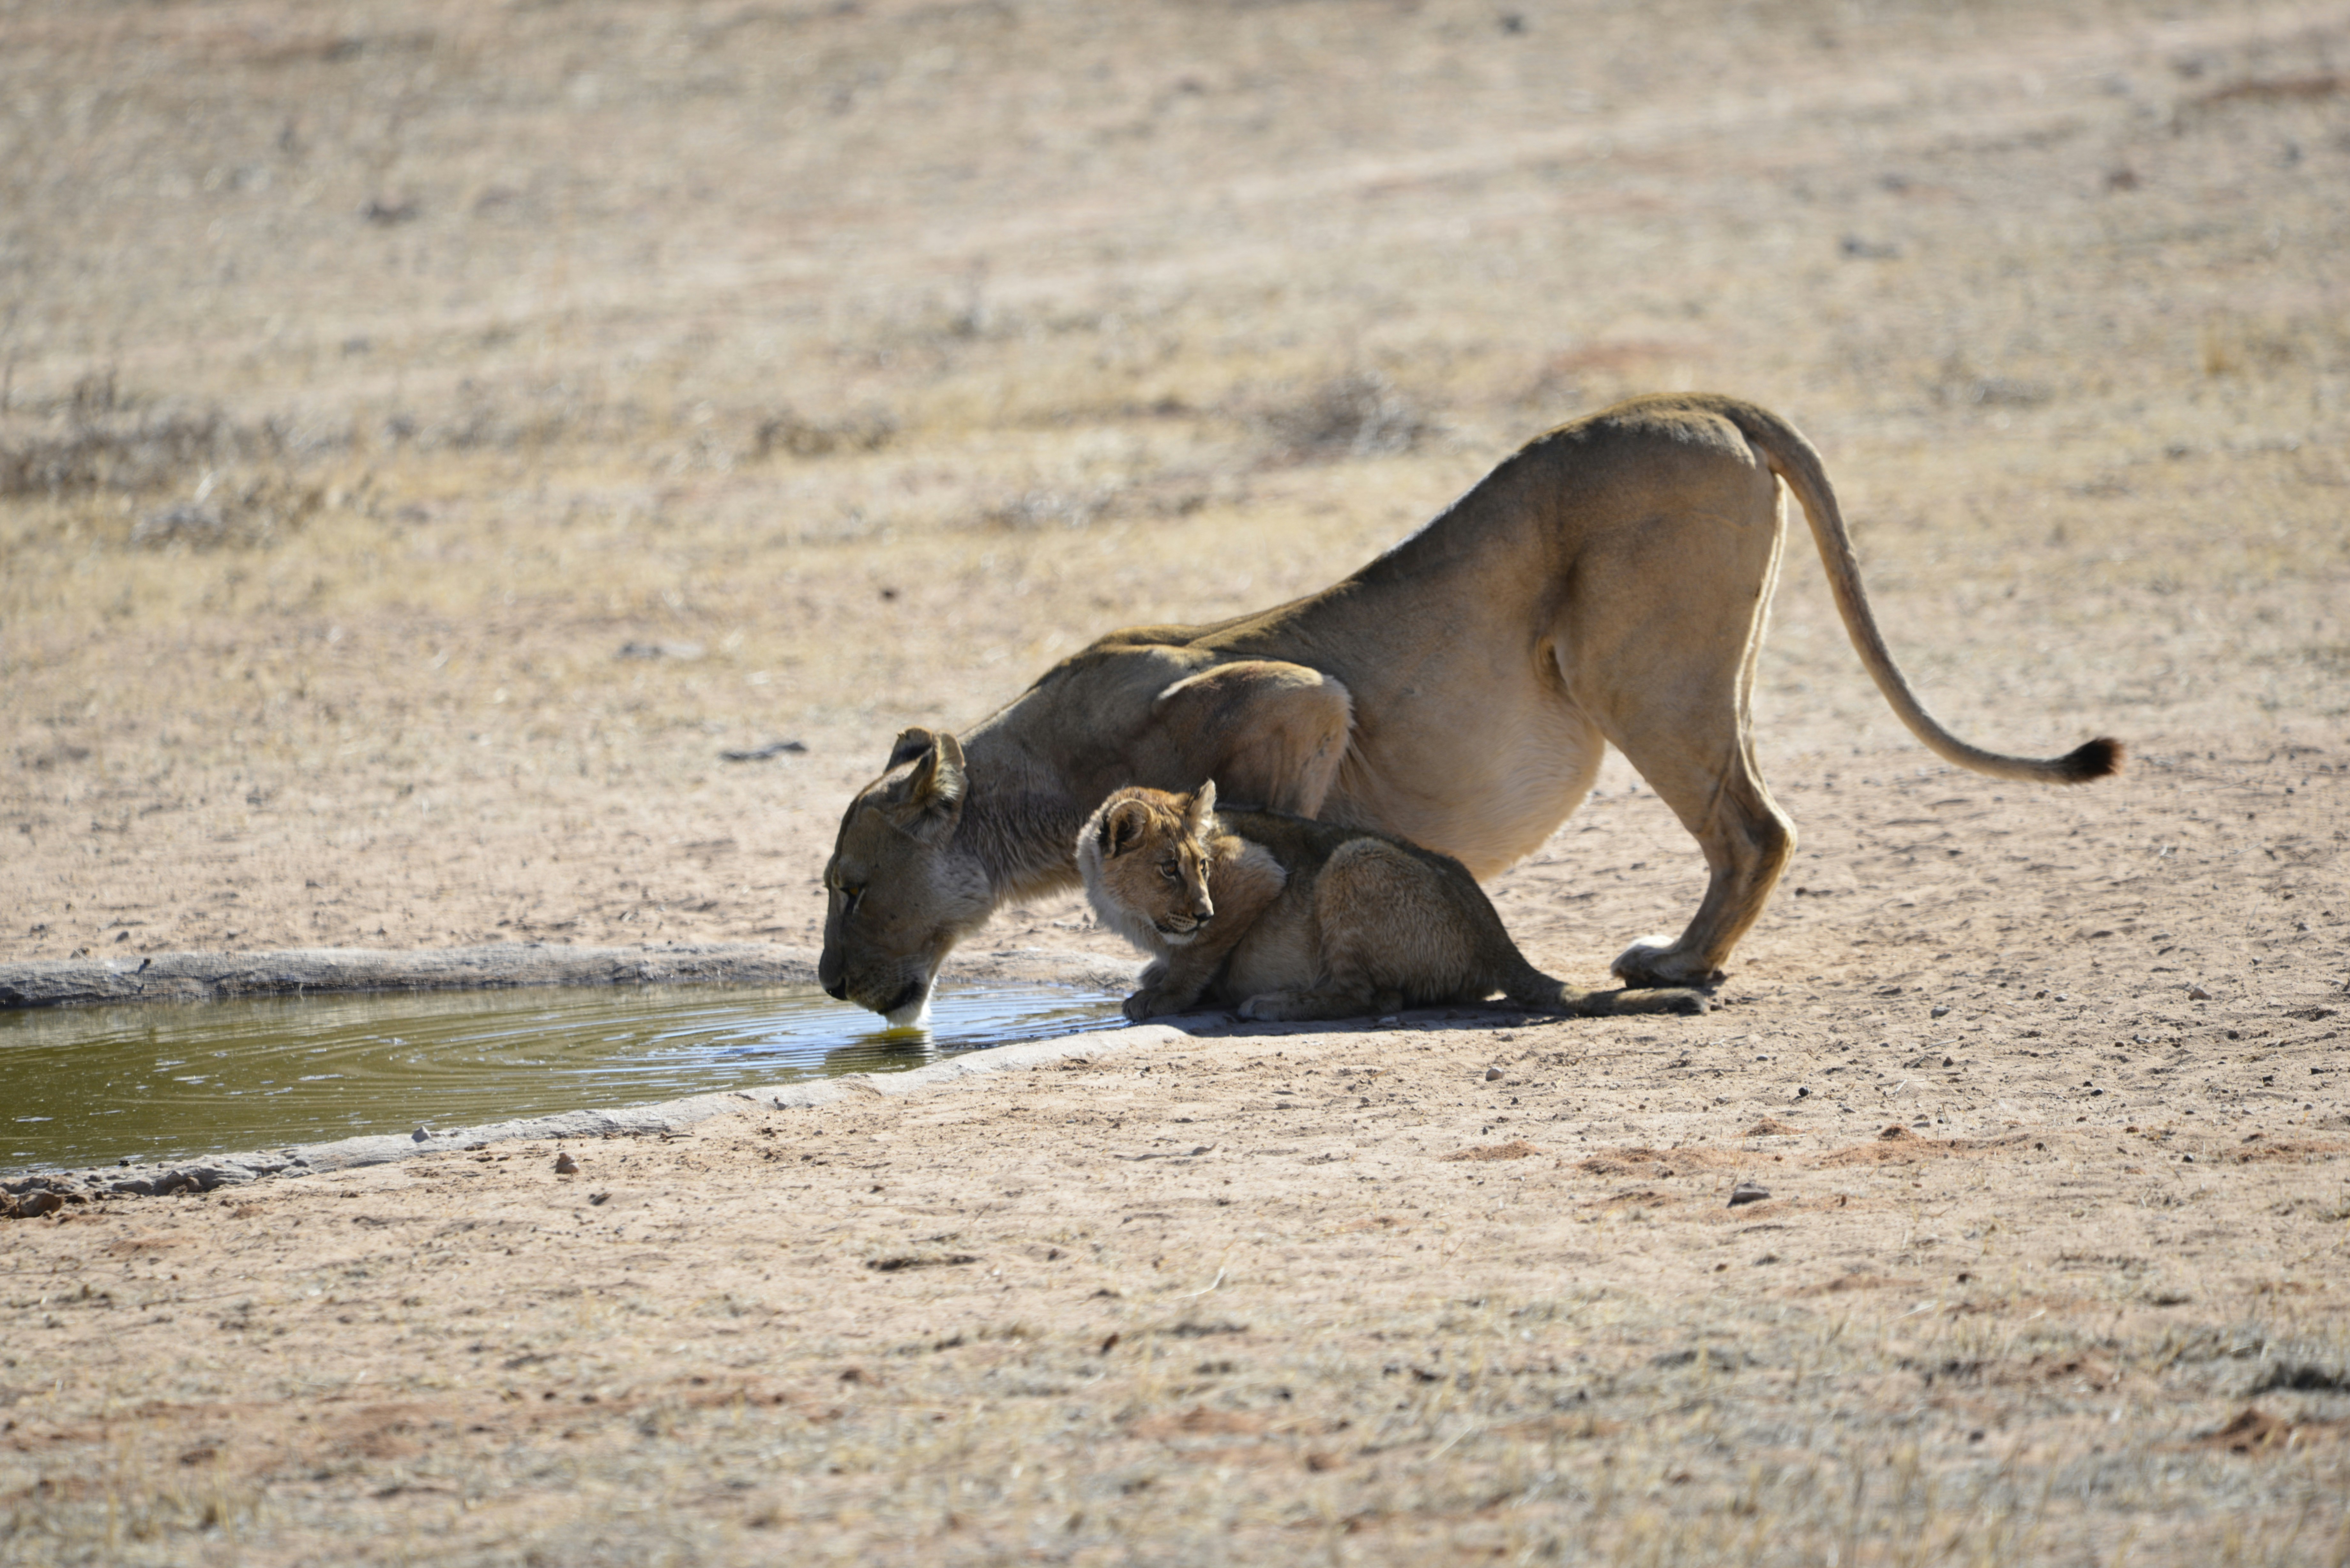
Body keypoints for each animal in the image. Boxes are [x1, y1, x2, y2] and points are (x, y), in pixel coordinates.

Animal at [1077, 782, 1707, 1022]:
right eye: (1168, 869)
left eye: (1203, 867)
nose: (1203, 910)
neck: (1124, 905)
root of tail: (1495, 932)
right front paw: (1160, 974)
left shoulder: (1256, 869)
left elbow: (1200, 952)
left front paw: (1164, 996)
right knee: (1388, 995)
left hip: (1354, 858)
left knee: (1361, 995)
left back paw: (1273, 1004)